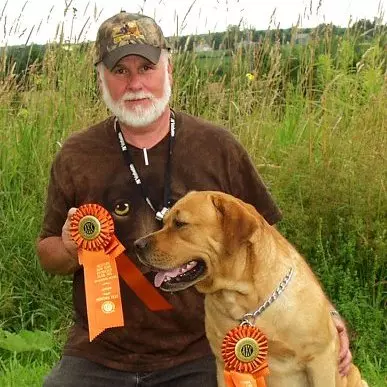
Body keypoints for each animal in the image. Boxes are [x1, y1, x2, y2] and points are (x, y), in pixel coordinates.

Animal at [135, 192, 368, 387]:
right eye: (164, 222)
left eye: (180, 224)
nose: (138, 245)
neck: (245, 302)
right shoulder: (224, 365)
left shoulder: (320, 359)